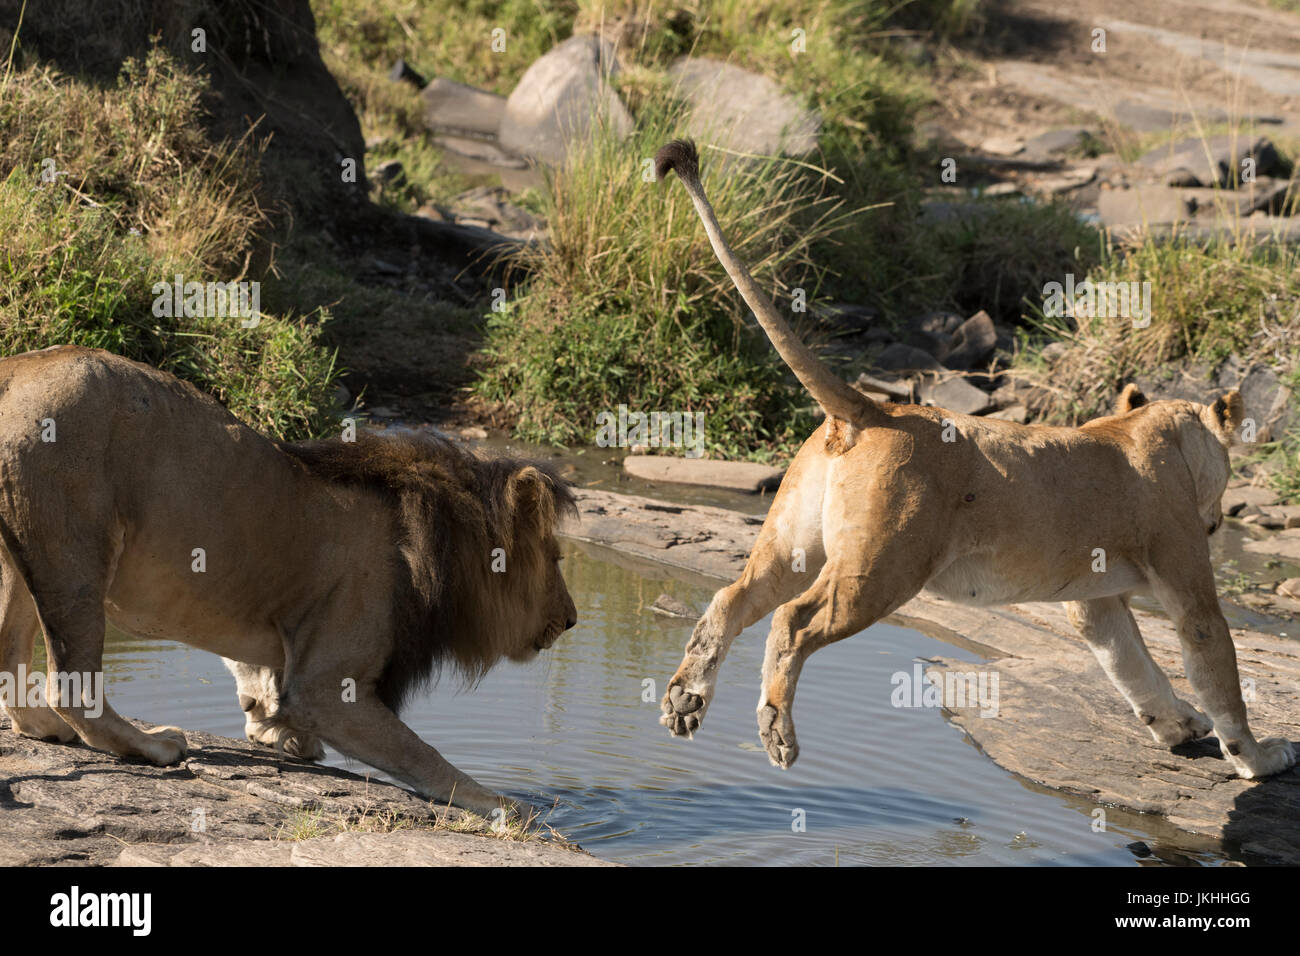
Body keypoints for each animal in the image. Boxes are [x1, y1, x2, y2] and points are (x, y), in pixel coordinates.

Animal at [0, 345, 577, 818]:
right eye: (556, 557)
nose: (572, 620)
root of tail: (13, 370)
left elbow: (264, 682)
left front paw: (275, 730)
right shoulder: (327, 685)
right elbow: (423, 753)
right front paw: (505, 805)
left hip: (22, 562)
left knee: (12, 657)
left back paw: (43, 728)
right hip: (75, 553)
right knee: (71, 686)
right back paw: (152, 744)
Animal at [654, 139, 1295, 780]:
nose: (1218, 519)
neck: (1156, 430)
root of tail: (873, 410)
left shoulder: (1094, 602)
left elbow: (1134, 666)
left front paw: (1178, 725)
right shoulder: (1182, 572)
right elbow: (1217, 667)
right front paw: (1259, 757)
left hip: (794, 542)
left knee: (732, 599)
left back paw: (685, 700)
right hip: (881, 569)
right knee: (793, 621)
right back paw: (775, 730)